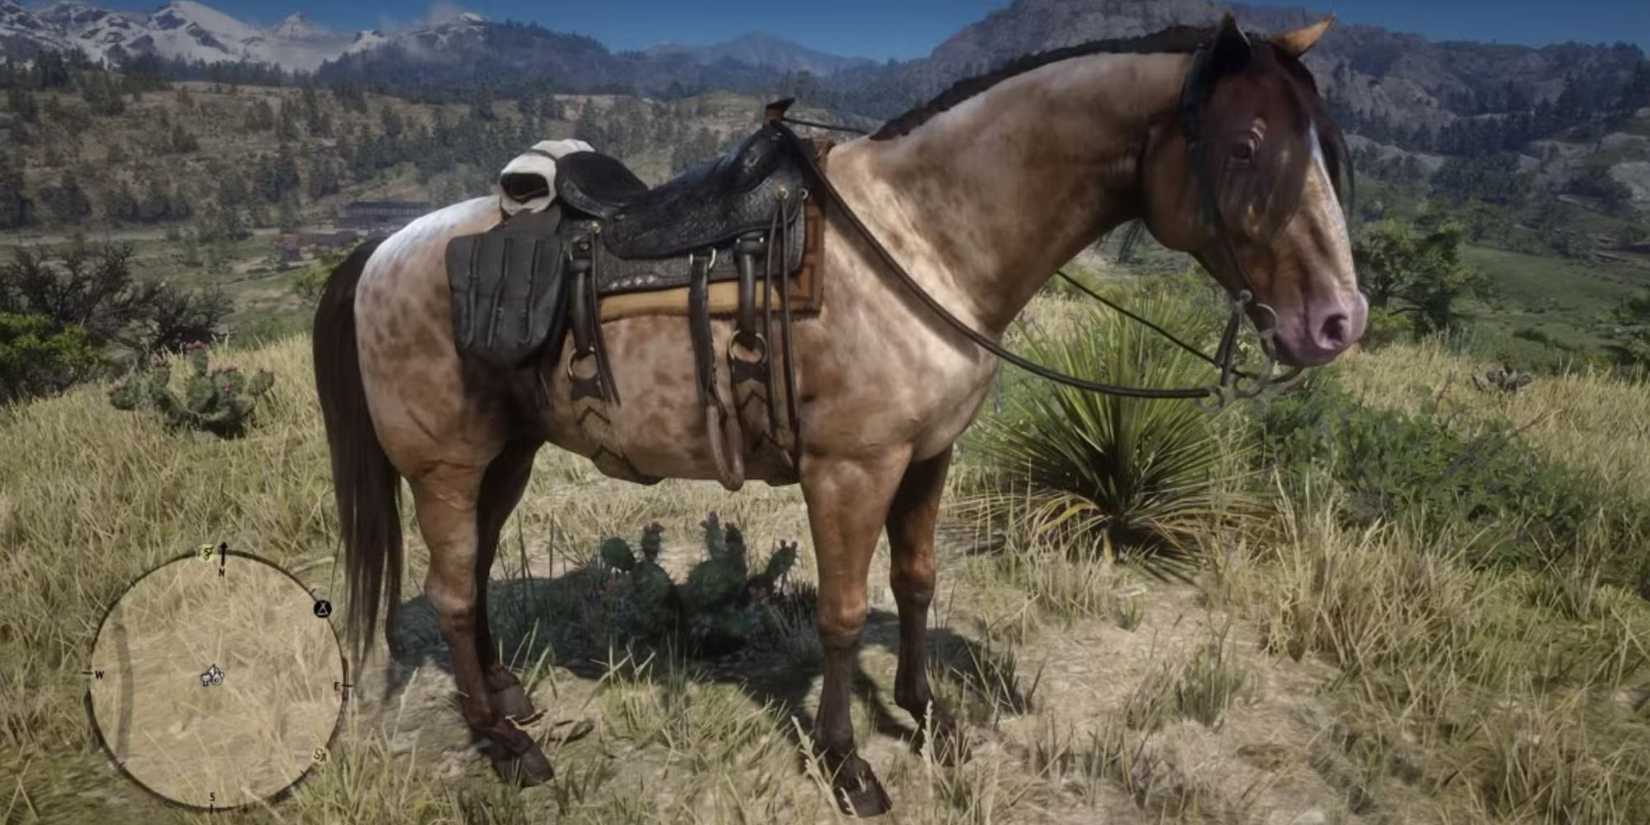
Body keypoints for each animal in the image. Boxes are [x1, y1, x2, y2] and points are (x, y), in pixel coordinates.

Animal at [312, 14, 1363, 816]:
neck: (922, 236)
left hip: (509, 453)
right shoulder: (850, 468)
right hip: (447, 463)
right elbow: (845, 611)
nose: (1337, 321)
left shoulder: (929, 456)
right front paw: (847, 761)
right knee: (452, 592)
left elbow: (919, 581)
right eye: (1246, 146)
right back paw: (503, 743)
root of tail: (380, 248)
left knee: (477, 571)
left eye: (1324, 148)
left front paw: (928, 717)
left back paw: (510, 696)